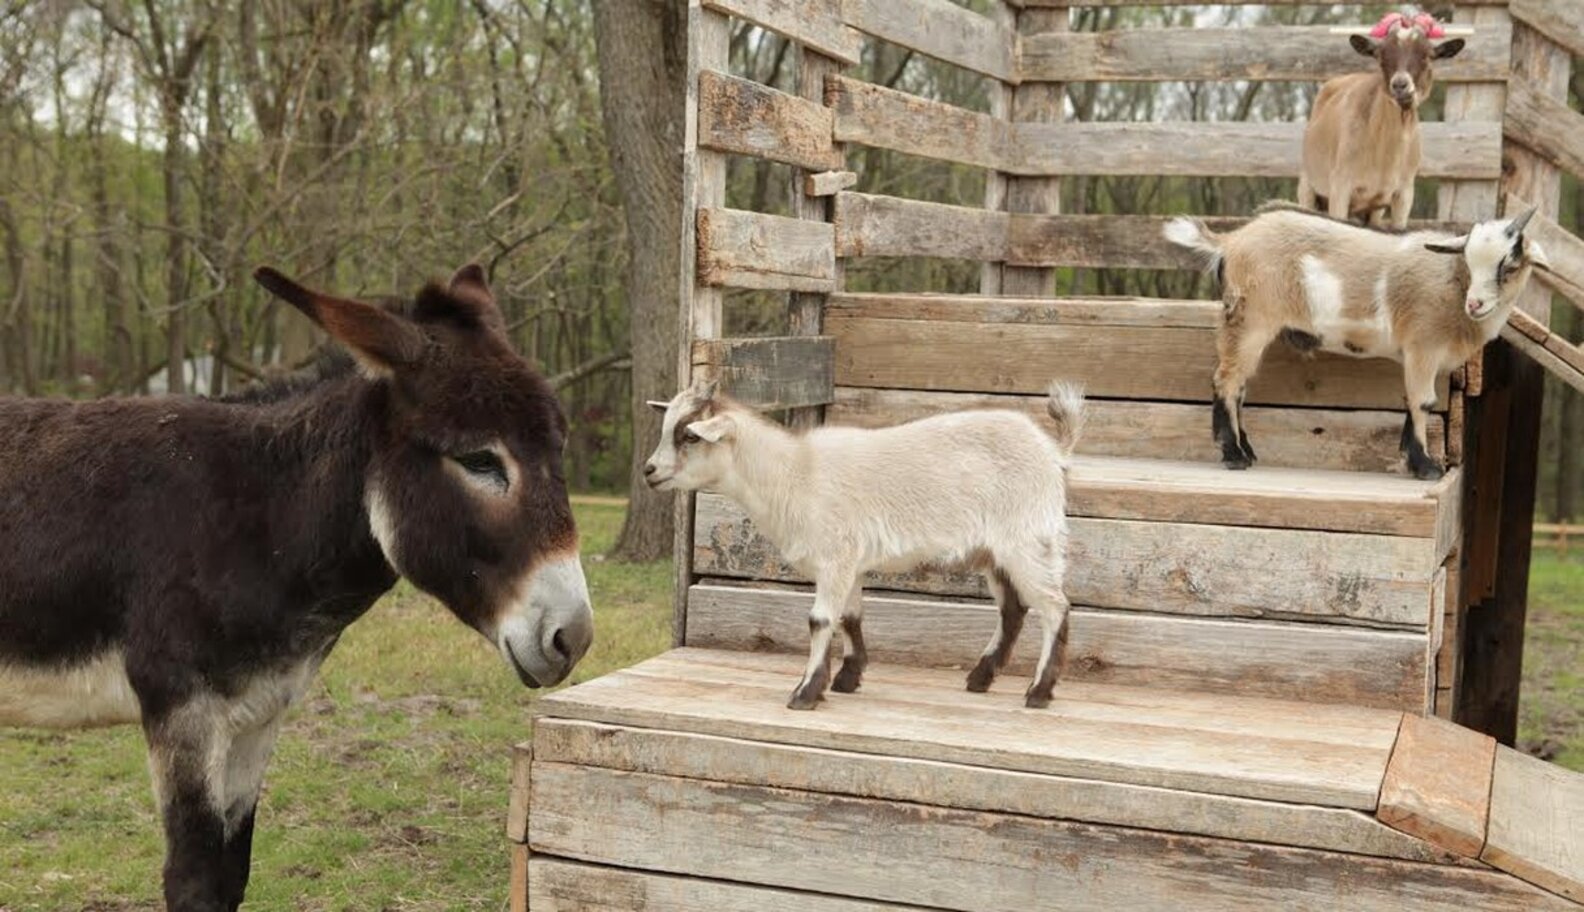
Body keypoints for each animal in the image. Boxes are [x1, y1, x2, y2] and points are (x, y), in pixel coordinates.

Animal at [644, 380, 1085, 709]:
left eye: (688, 435)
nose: (649, 471)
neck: (795, 473)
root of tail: (1053, 449)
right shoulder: (850, 563)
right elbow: (850, 618)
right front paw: (847, 678)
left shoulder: (835, 557)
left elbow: (820, 620)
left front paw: (805, 692)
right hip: (995, 551)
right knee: (1014, 609)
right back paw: (981, 677)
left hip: (1027, 539)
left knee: (1053, 606)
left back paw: (1038, 691)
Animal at [1165, 202, 1549, 480]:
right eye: (1469, 261)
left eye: (1509, 266)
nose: (1476, 304)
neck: (1452, 283)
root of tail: (1230, 241)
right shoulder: (1422, 346)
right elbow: (1423, 401)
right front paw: (1426, 466)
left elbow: (1411, 400)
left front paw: (1410, 457)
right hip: (1251, 319)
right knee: (1227, 380)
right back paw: (1233, 455)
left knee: (1240, 384)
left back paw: (1247, 451)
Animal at [1298, 13, 1464, 228]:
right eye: (1381, 55)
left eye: (1427, 55)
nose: (1400, 85)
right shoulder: (1340, 188)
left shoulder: (1403, 195)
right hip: (1308, 187)